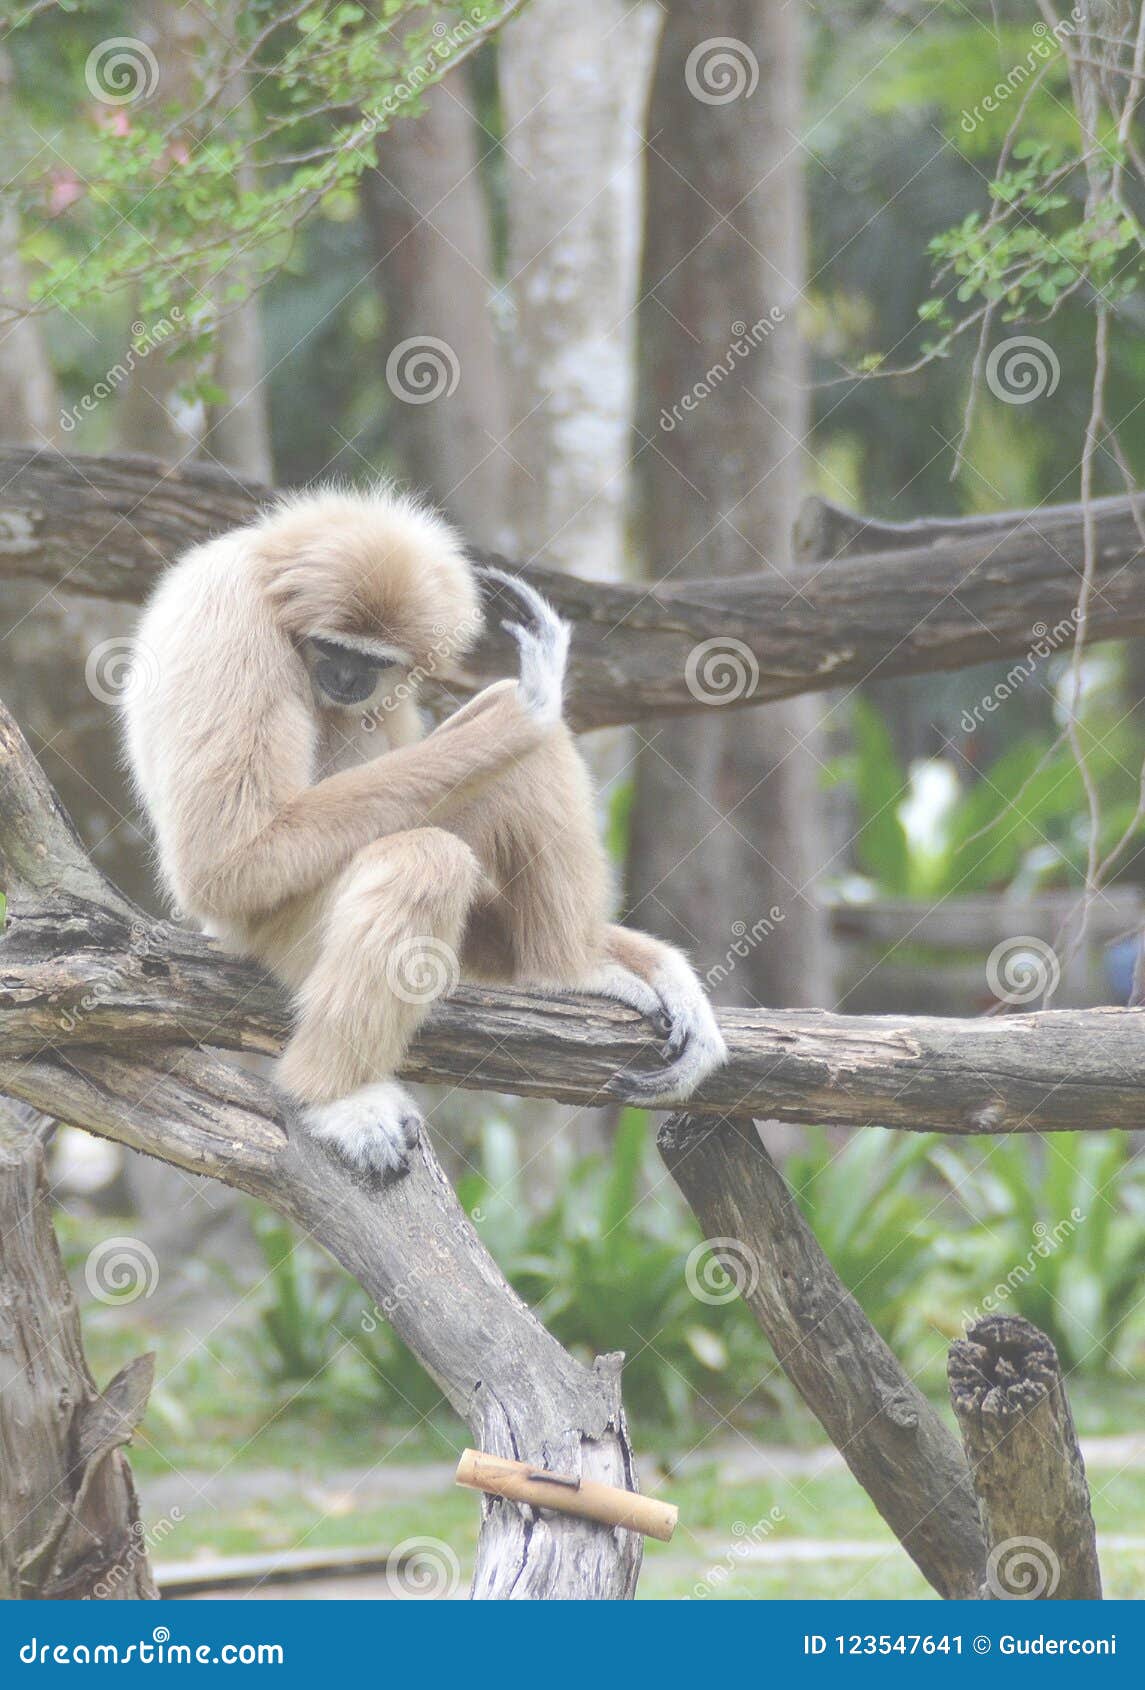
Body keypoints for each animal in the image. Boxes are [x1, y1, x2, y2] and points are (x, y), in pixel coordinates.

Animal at [123, 486, 728, 1176]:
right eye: (335, 649)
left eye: (374, 660)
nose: (349, 681)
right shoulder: (229, 618)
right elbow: (228, 857)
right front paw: (528, 706)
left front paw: (669, 972)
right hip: (275, 930)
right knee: (425, 860)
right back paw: (335, 1098)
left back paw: (565, 971)